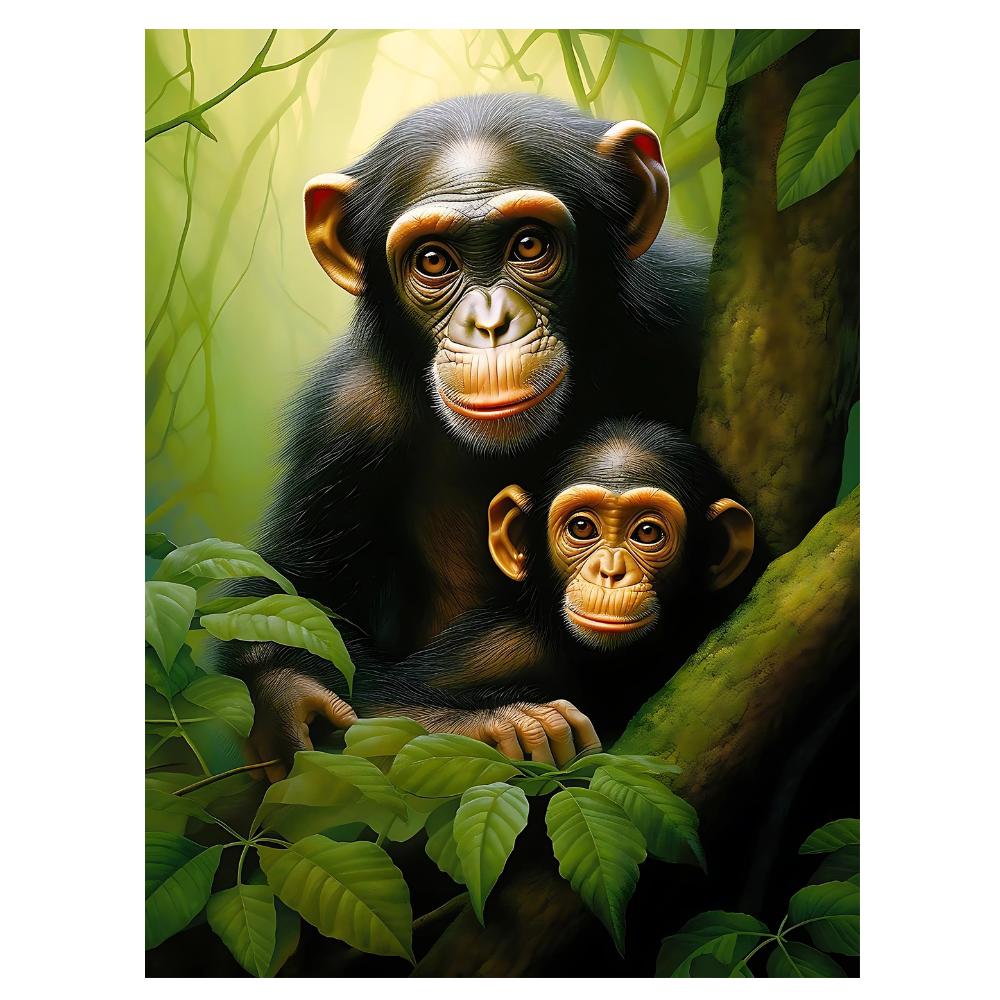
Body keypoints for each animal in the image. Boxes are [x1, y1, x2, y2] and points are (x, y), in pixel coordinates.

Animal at [216, 94, 712, 773]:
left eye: (529, 245)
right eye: (433, 260)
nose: (491, 323)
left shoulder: (689, 309)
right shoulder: (344, 418)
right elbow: (293, 604)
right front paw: (486, 726)